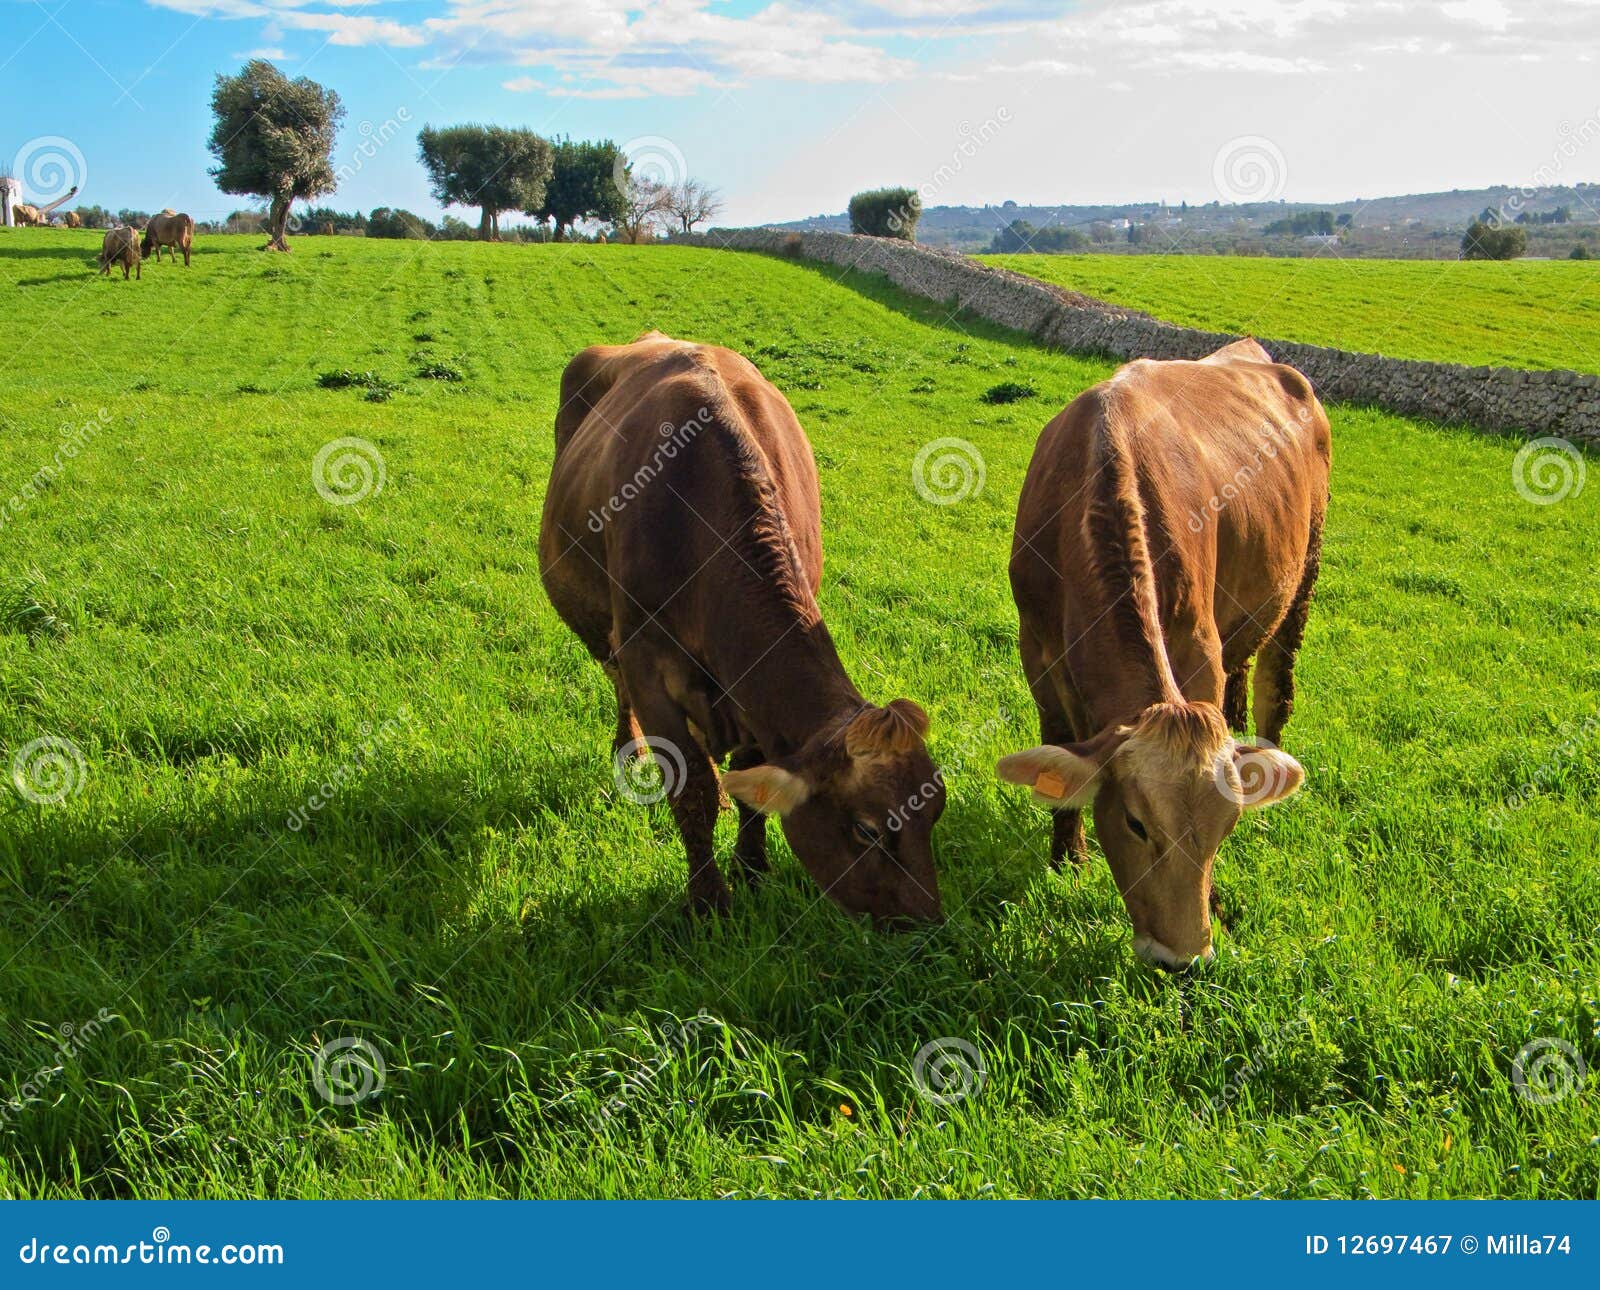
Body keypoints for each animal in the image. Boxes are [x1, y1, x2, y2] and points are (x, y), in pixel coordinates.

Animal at [540, 332, 945, 926]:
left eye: (935, 810)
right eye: (868, 831)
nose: (928, 925)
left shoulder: (750, 695)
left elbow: (750, 773)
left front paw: (752, 868)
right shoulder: (647, 661)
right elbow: (691, 789)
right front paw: (708, 902)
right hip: (600, 627)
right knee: (616, 683)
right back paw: (630, 750)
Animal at [995, 338, 1330, 970]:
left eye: (1225, 828)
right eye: (1135, 823)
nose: (1183, 960)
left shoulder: (1198, 645)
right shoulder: (1037, 651)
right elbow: (1058, 742)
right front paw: (1067, 858)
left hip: (1304, 570)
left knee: (1277, 682)